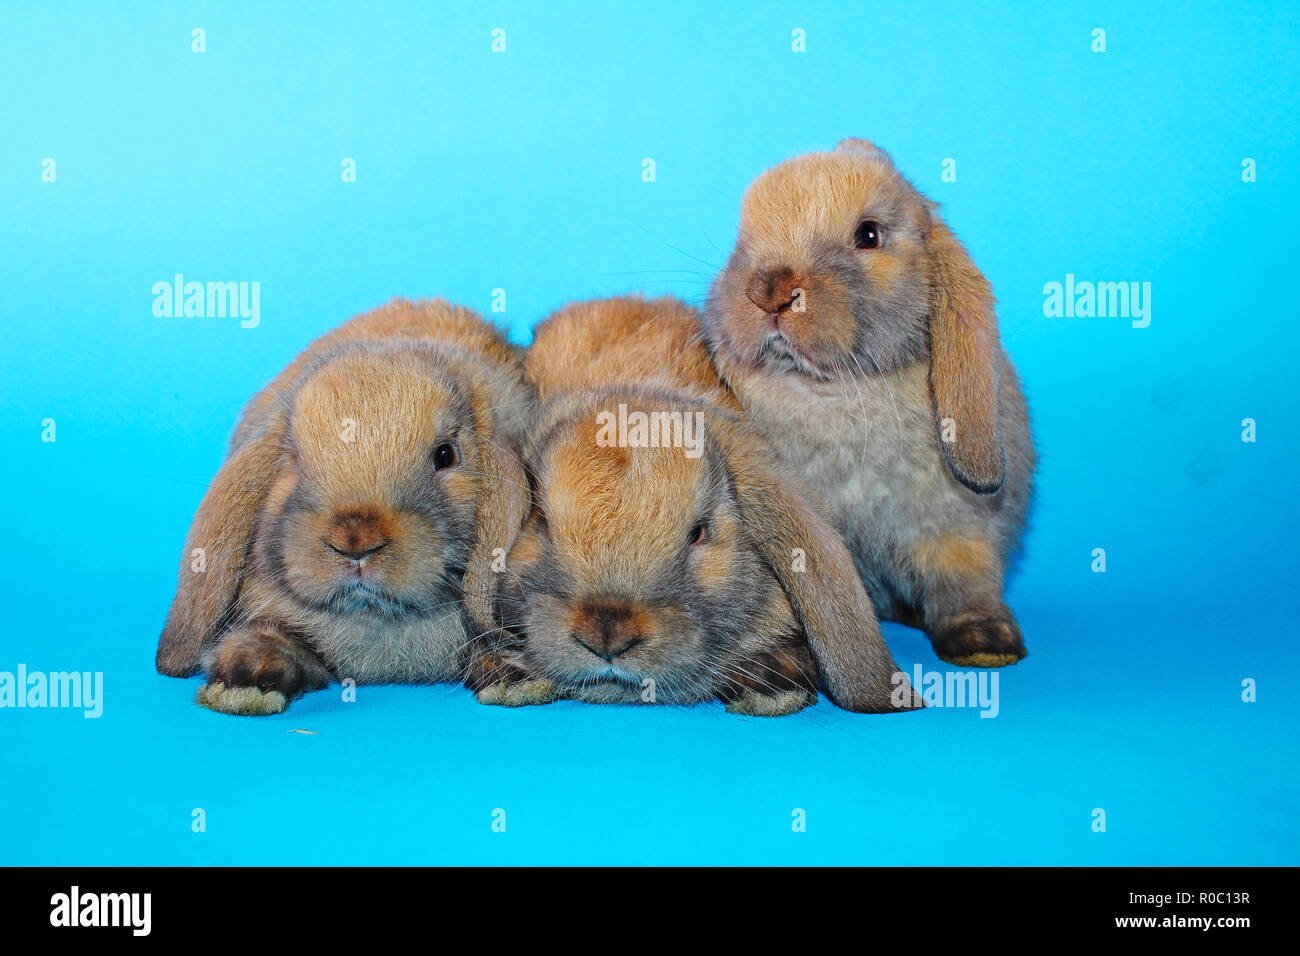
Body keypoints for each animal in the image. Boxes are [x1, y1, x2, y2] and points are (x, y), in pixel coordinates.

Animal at [700, 138, 1036, 668]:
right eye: (742, 237)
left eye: (870, 234)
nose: (768, 290)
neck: (833, 390)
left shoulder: (960, 527)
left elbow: (965, 578)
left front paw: (985, 643)